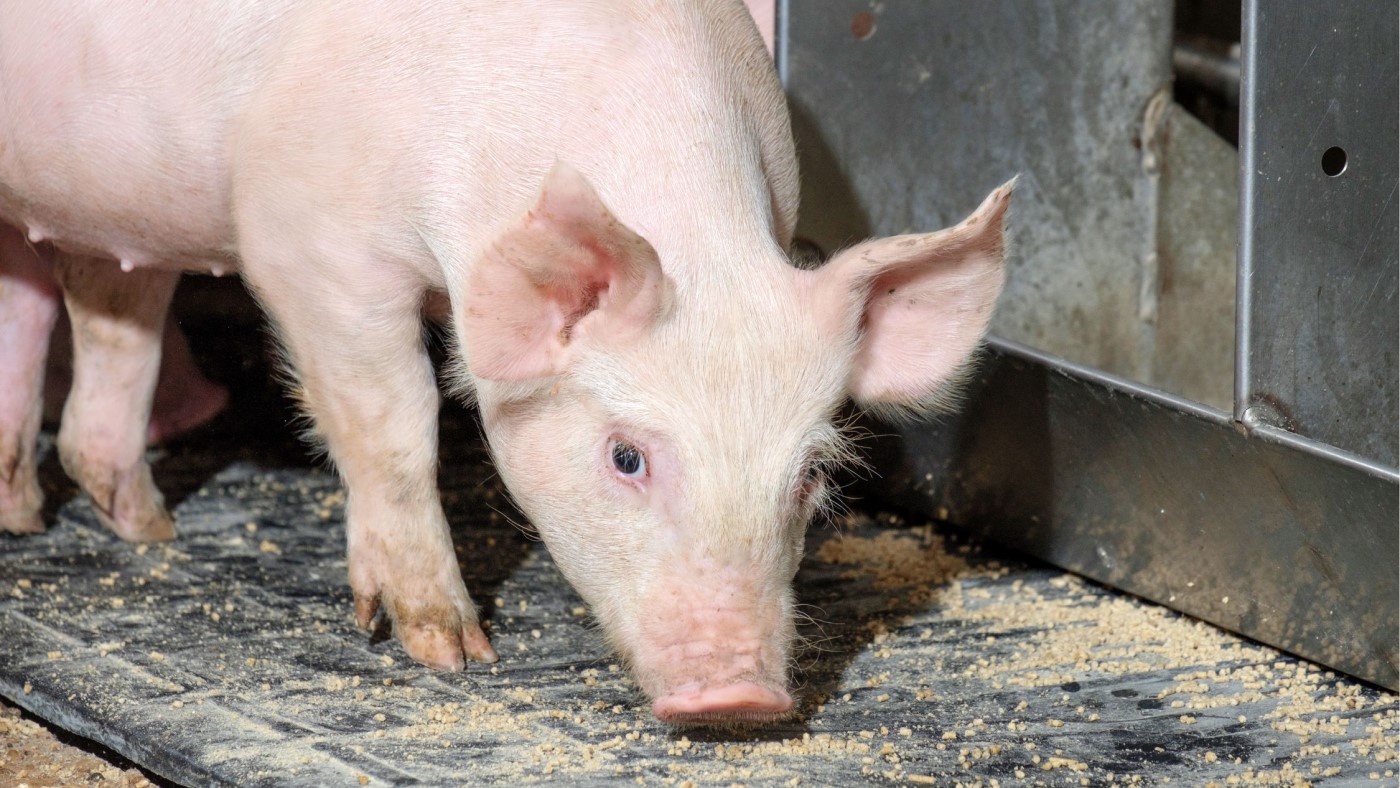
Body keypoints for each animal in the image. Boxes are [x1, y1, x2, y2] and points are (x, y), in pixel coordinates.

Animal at [0, 0, 1012, 724]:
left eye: (808, 477)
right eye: (627, 456)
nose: (740, 699)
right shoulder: (306, 237)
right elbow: (395, 422)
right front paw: (447, 651)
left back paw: (123, 527)